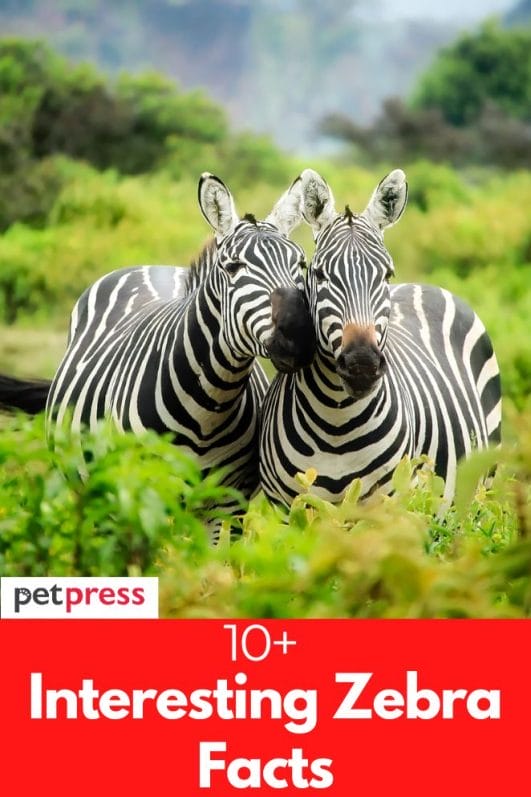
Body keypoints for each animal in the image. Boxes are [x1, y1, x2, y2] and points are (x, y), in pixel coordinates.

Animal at [2, 173, 316, 539]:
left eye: (300, 264)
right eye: (233, 267)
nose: (299, 337)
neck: (210, 405)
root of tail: (152, 266)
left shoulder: (228, 504)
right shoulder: (142, 494)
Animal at [259, 168, 501, 509]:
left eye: (387, 274)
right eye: (319, 274)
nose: (362, 365)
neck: (336, 423)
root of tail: (425, 285)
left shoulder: (386, 505)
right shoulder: (287, 508)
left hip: (480, 489)